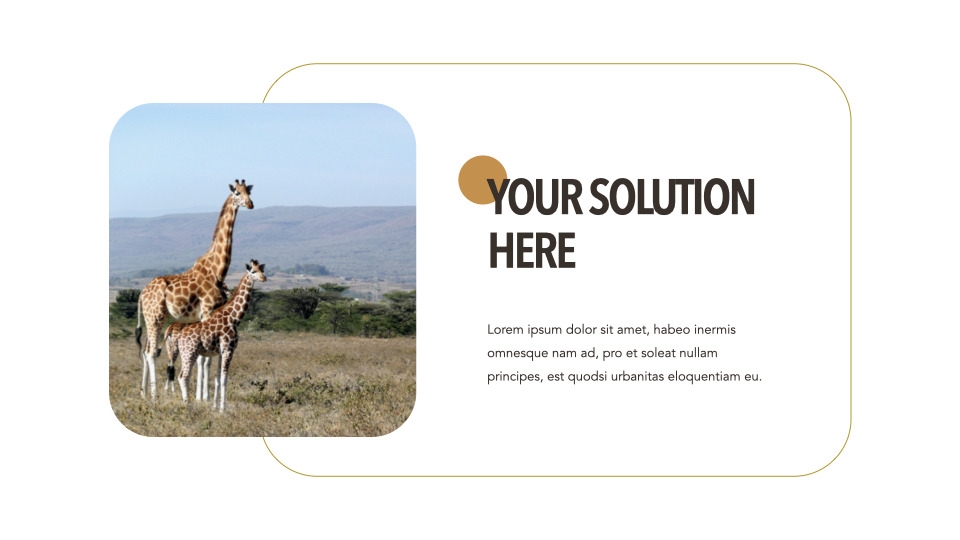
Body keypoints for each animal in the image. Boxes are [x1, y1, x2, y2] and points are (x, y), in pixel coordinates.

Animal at [135, 179, 254, 400]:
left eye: (249, 192)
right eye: (237, 193)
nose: (250, 204)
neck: (217, 270)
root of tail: (141, 294)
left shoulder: (207, 316)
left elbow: (204, 357)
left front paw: (202, 396)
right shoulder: (207, 311)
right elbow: (204, 358)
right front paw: (203, 397)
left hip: (151, 318)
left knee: (147, 350)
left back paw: (144, 393)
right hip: (156, 316)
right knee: (151, 352)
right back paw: (154, 395)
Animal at [170, 260, 267, 411]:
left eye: (262, 270)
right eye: (253, 271)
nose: (264, 278)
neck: (234, 318)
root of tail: (180, 336)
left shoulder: (221, 351)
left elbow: (217, 378)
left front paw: (215, 406)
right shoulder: (228, 349)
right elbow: (224, 379)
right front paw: (222, 408)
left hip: (188, 353)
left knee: (185, 375)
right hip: (189, 352)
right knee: (183, 376)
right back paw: (187, 404)